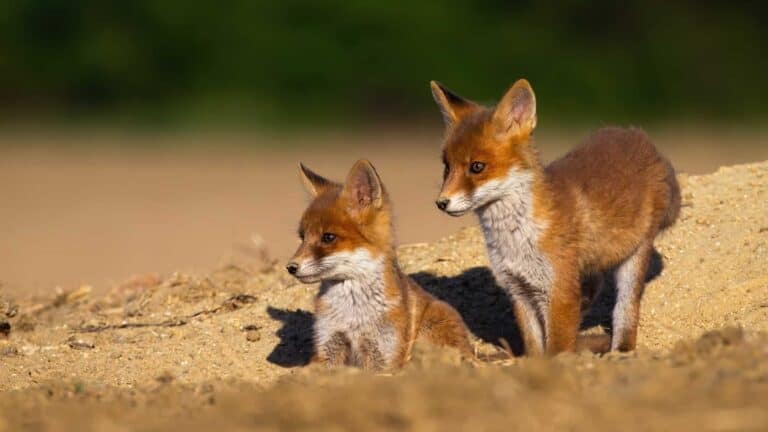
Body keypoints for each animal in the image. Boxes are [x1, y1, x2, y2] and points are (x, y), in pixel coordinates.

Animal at [285, 159, 473, 370]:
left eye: (328, 237)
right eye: (302, 237)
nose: (291, 267)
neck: (353, 314)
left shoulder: (382, 355)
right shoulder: (328, 345)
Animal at [430, 79, 680, 355]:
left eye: (477, 167)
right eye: (446, 167)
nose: (441, 202)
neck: (515, 239)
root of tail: (641, 137)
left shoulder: (558, 290)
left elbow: (557, 347)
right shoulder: (519, 289)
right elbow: (534, 345)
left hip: (634, 260)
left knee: (626, 309)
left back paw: (622, 349)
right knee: (593, 289)